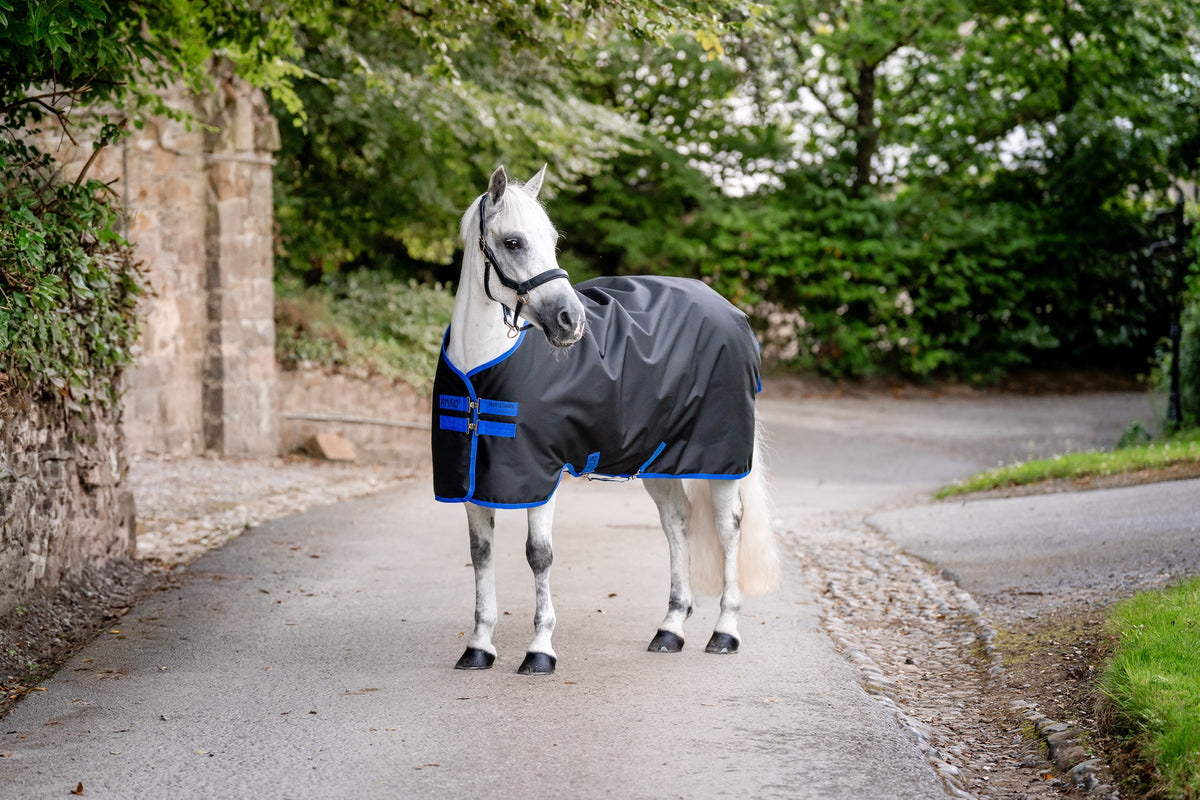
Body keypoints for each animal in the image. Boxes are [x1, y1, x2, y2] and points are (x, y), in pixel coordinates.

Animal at [431, 165, 779, 675]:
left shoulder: (542, 475)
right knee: (677, 523)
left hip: (721, 459)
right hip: (659, 460)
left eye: (552, 239)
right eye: (513, 242)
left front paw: (540, 650)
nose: (570, 321)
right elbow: (481, 555)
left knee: (728, 527)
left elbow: (539, 556)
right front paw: (479, 646)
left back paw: (725, 632)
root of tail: (733, 312)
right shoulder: (474, 481)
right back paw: (670, 629)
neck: (481, 371)